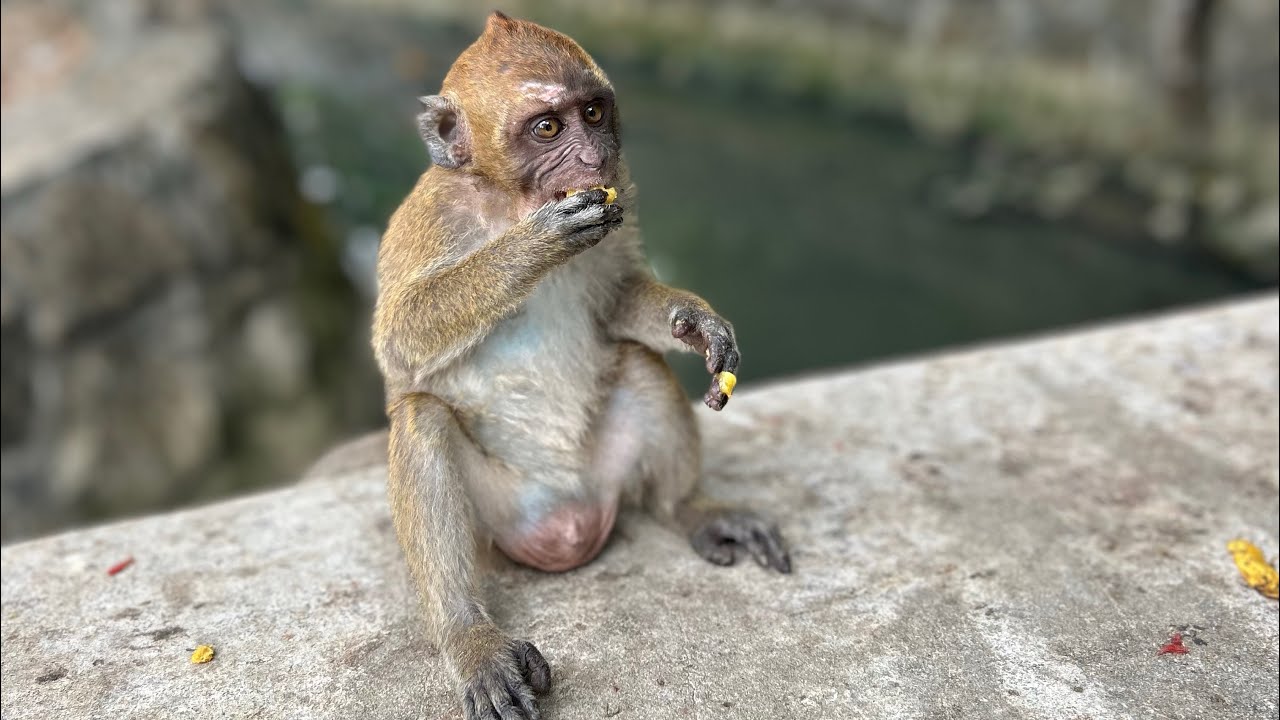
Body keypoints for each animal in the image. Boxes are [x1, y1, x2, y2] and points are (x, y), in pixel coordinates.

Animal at [369, 12, 790, 720]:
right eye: (547, 127)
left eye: (593, 113)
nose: (594, 159)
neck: (507, 202)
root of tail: (569, 522)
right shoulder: (430, 219)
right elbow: (399, 344)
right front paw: (536, 244)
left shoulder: (625, 190)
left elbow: (618, 298)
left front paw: (697, 320)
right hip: (503, 517)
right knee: (423, 418)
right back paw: (469, 637)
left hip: (604, 474)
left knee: (638, 365)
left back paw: (690, 510)